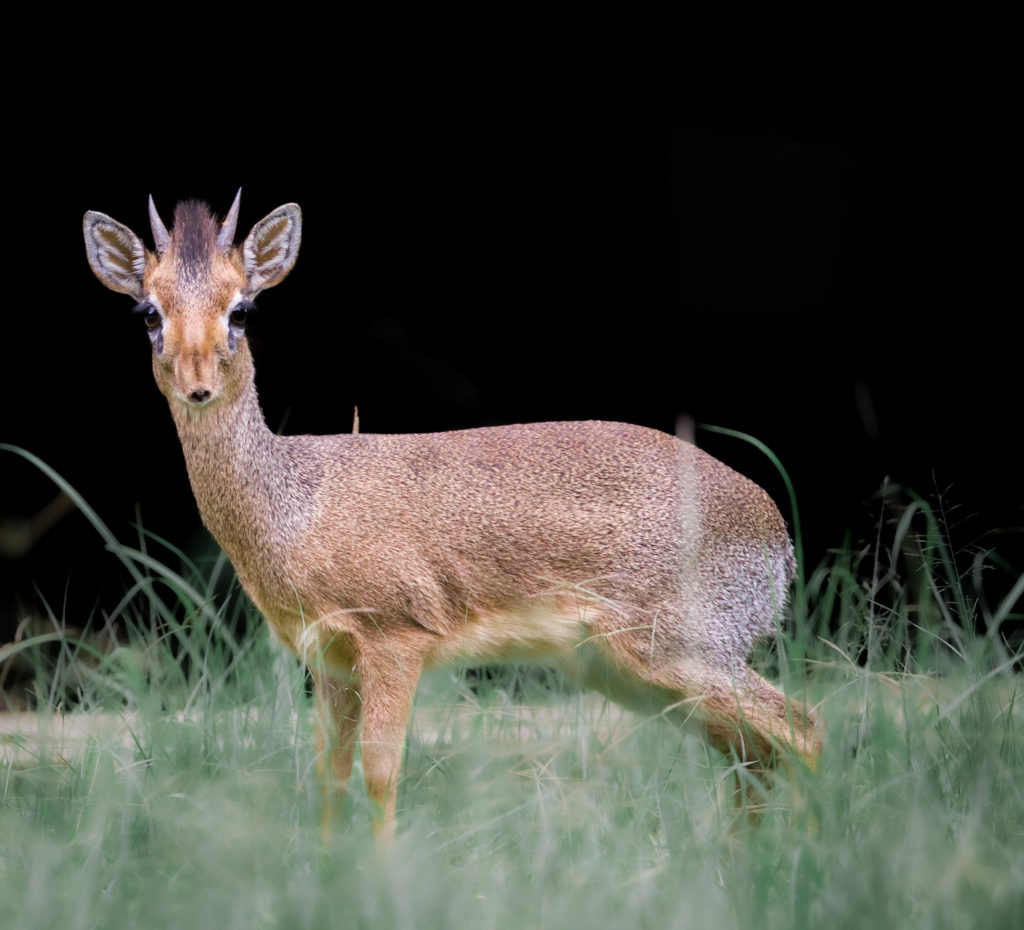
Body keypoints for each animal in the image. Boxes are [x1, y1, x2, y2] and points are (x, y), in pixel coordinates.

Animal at [83, 191, 819, 841]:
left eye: (242, 309)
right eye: (148, 312)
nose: (197, 385)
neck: (295, 505)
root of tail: (776, 534)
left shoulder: (395, 635)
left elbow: (381, 772)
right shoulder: (330, 658)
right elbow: (329, 775)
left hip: (678, 647)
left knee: (802, 729)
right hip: (636, 670)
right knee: (754, 753)